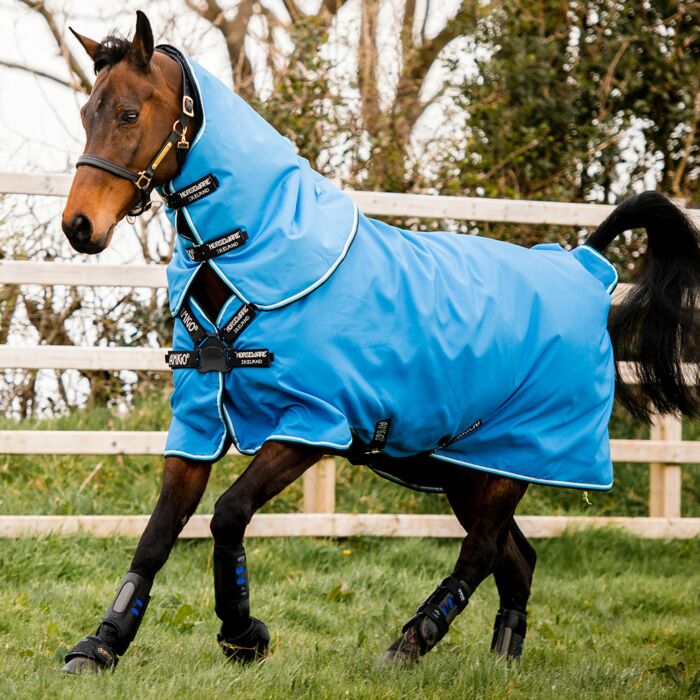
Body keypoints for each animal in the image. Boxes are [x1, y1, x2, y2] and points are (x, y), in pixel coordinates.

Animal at [59, 11, 699, 674]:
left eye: (129, 113)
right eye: (86, 112)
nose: (79, 226)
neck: (248, 264)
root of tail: (584, 266)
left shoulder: (309, 425)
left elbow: (229, 516)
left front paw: (243, 633)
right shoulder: (196, 423)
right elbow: (157, 535)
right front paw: (102, 645)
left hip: (509, 461)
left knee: (482, 553)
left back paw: (409, 643)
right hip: (467, 467)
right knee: (515, 560)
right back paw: (499, 659)